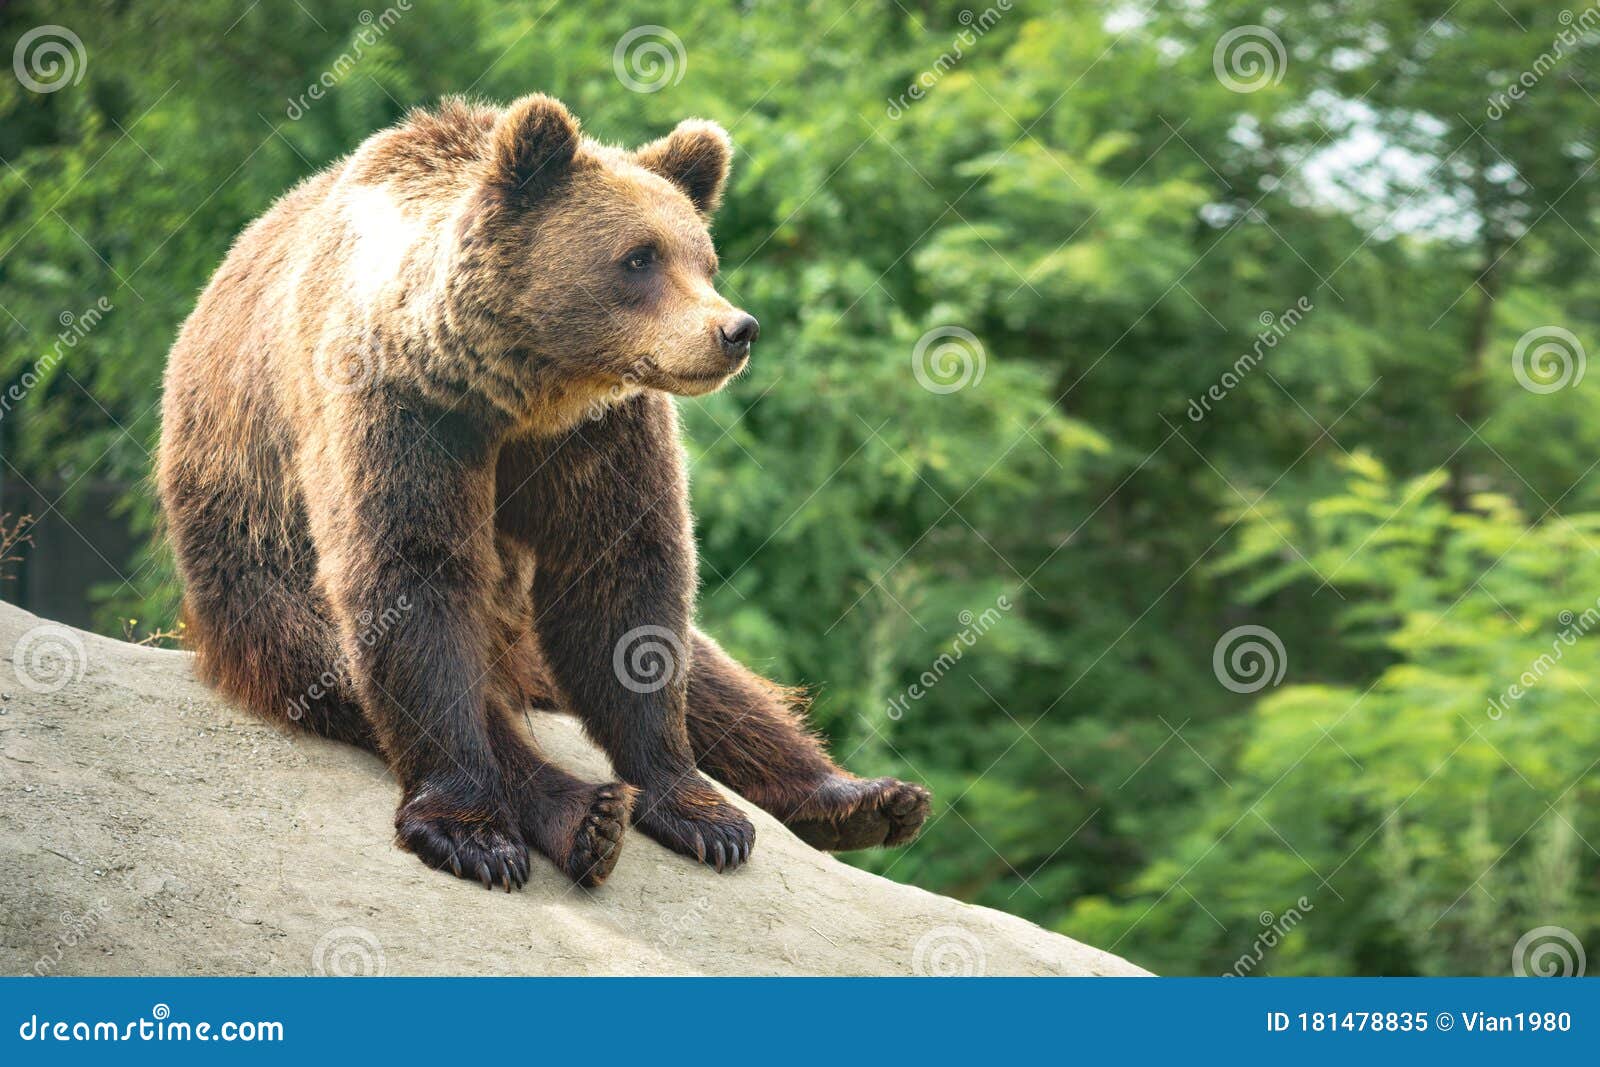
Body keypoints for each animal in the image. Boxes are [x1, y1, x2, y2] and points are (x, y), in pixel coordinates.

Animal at [156, 94, 931, 891]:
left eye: (705, 259)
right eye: (639, 257)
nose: (734, 329)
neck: (521, 391)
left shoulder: (601, 432)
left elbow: (626, 587)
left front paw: (699, 809)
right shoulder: (397, 408)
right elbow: (413, 581)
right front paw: (470, 828)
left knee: (713, 671)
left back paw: (863, 797)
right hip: (256, 572)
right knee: (353, 668)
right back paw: (583, 815)